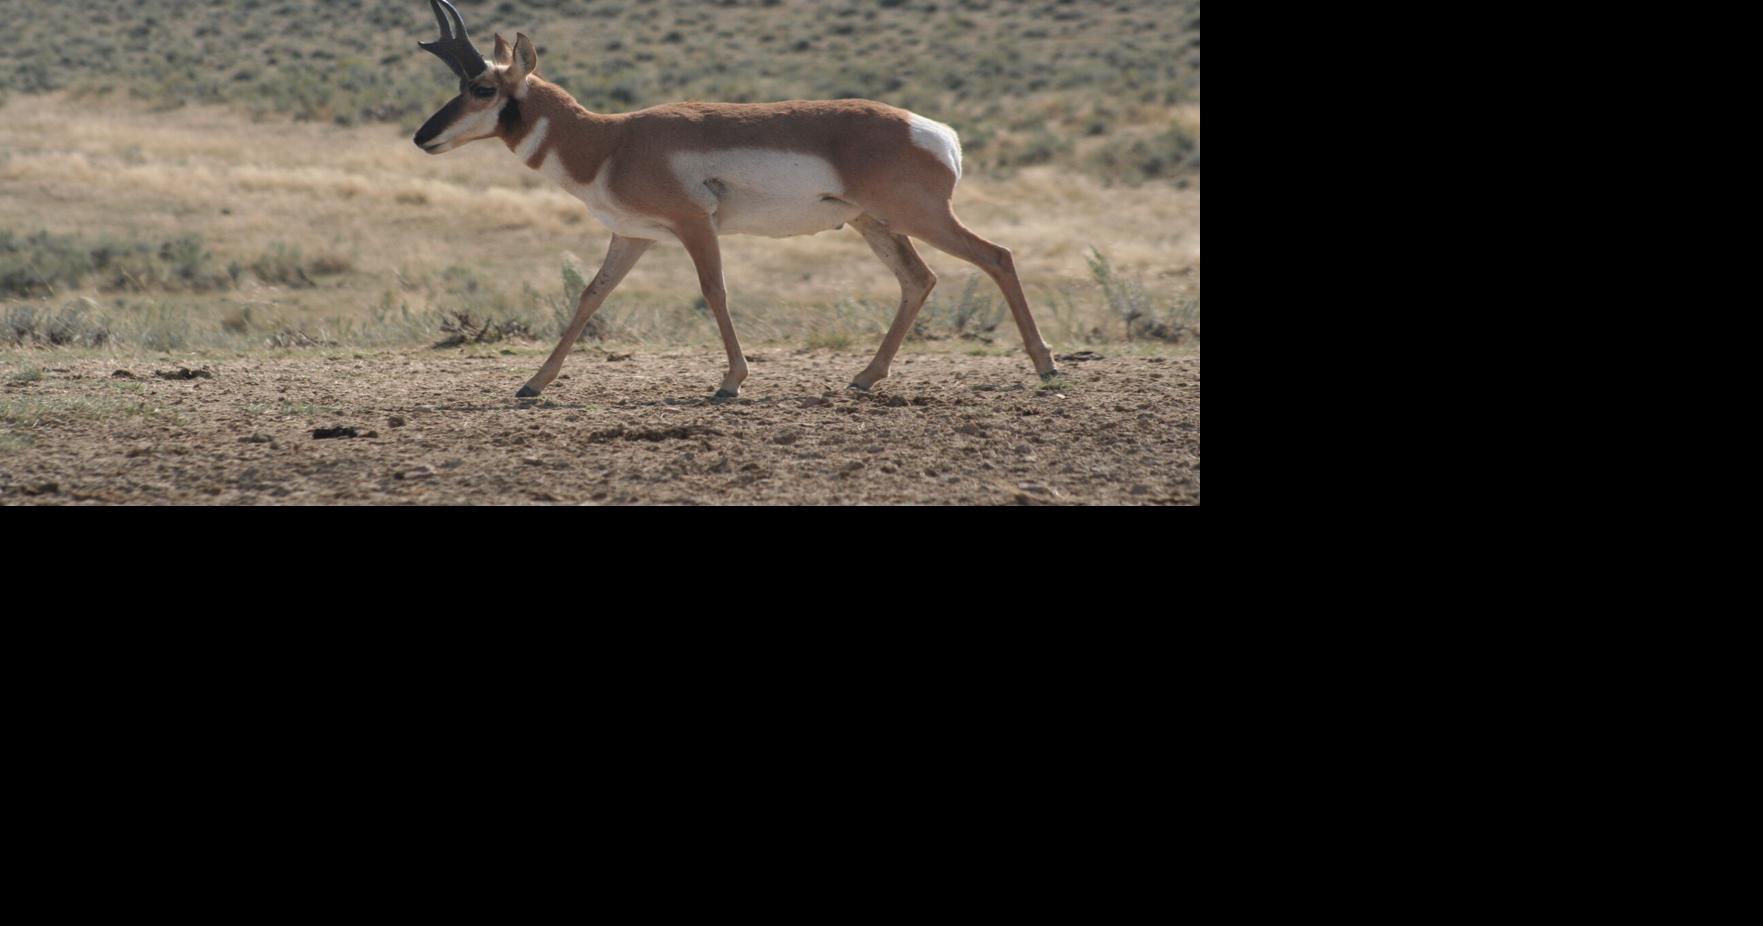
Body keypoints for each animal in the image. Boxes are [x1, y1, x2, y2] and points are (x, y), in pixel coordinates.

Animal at [412, 0, 1059, 400]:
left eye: (482, 87)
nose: (423, 137)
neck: (610, 140)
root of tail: (934, 130)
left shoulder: (696, 227)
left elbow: (714, 291)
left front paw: (730, 383)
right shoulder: (633, 236)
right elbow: (590, 296)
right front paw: (532, 384)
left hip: (919, 218)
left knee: (996, 256)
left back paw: (1047, 367)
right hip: (877, 226)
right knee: (919, 280)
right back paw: (864, 377)